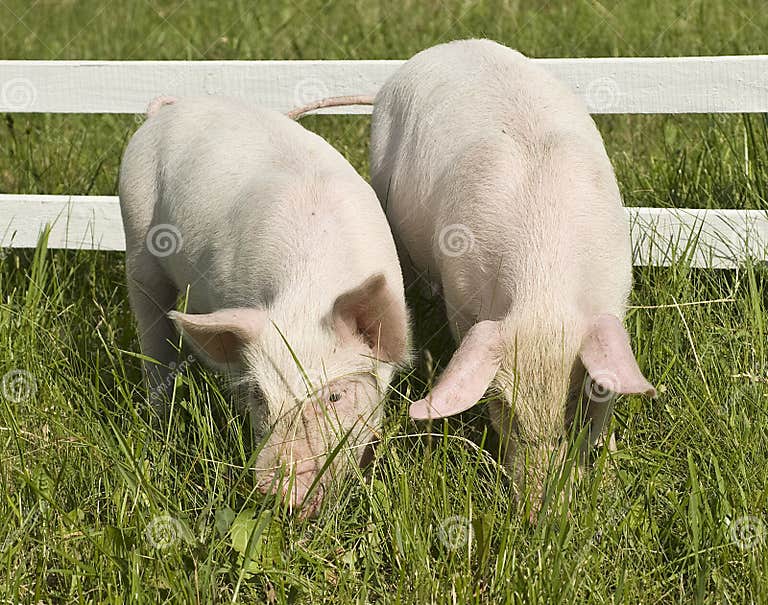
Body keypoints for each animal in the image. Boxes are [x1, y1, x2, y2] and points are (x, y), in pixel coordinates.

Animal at [118, 96, 410, 515]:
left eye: (335, 396)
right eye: (259, 396)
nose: (278, 490)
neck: (308, 293)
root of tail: (167, 109)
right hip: (136, 233)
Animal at [365, 39, 657, 504]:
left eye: (575, 404)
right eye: (503, 405)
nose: (542, 511)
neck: (544, 290)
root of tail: (446, 46)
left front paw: (608, 475)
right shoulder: (463, 303)